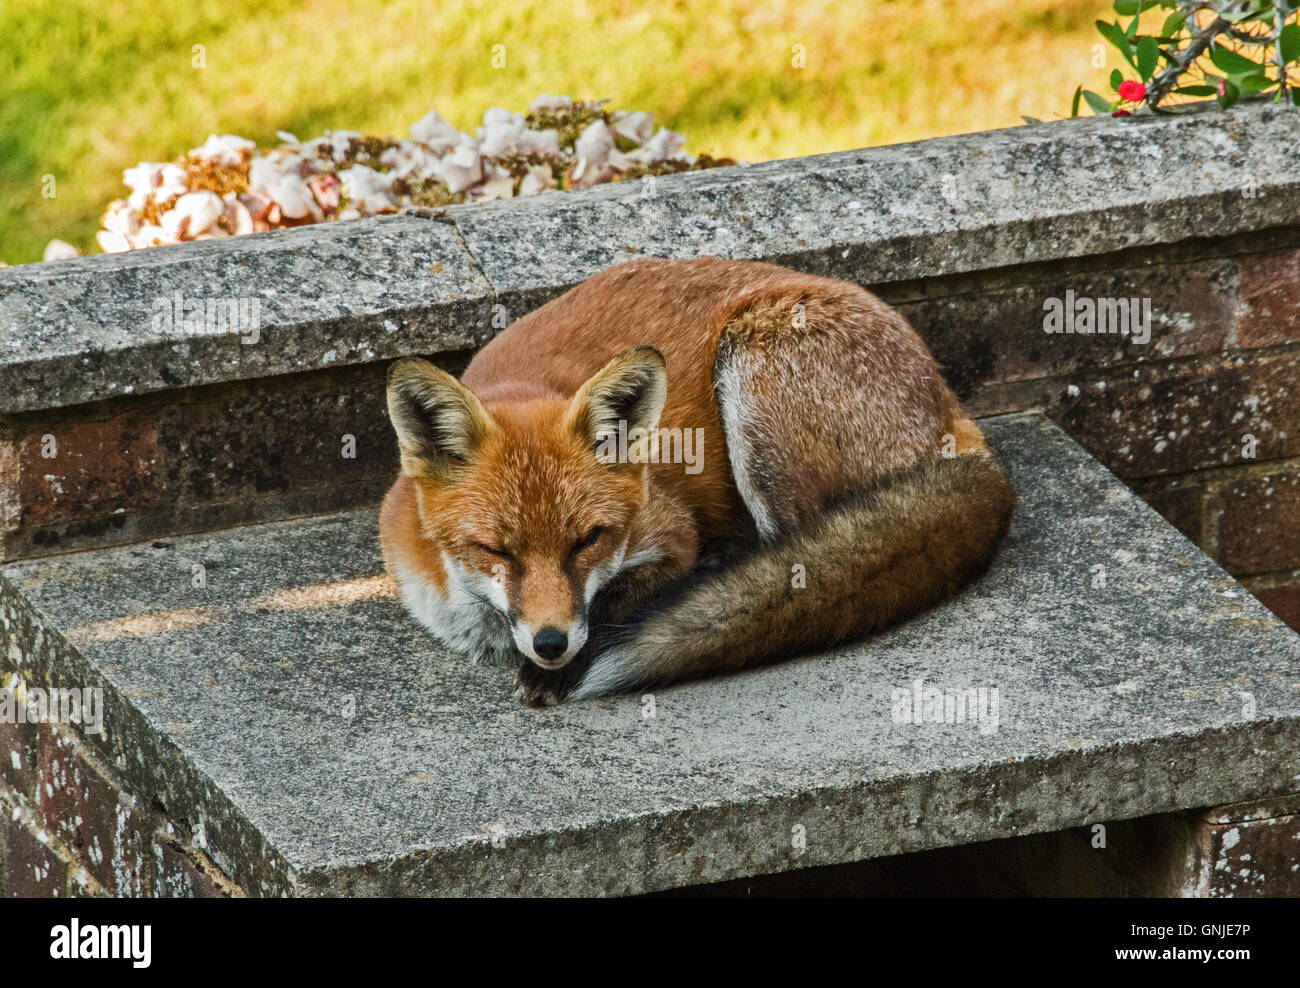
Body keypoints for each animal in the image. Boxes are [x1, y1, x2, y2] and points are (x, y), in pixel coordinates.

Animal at [379, 257, 1015, 707]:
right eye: (496, 550)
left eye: (587, 541)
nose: (551, 644)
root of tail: (945, 397)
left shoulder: (669, 531)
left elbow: (620, 596)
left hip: (753, 375)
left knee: (802, 561)